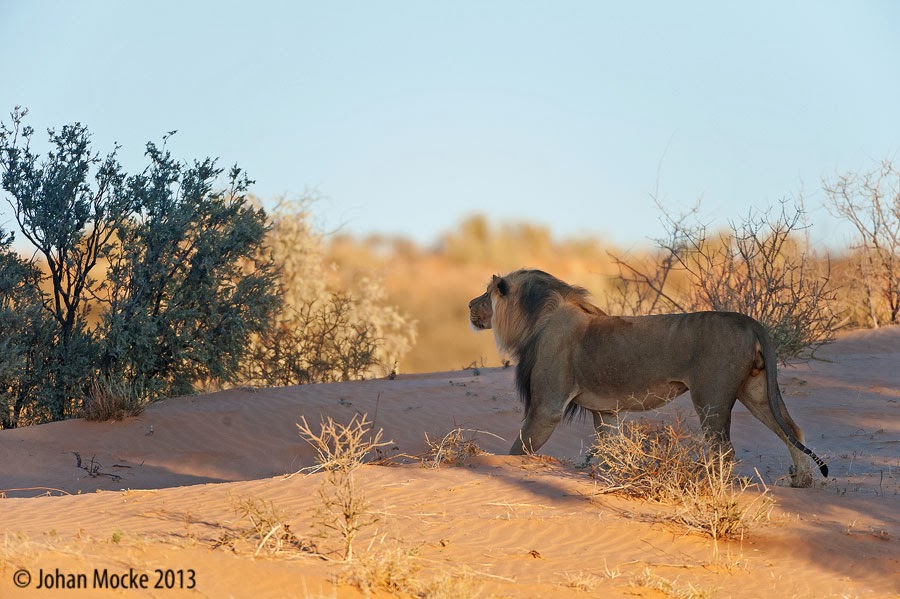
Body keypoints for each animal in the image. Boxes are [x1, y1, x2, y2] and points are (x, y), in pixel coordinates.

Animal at [468, 268, 828, 487]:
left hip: (710, 396)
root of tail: (750, 321)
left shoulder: (547, 408)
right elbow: (610, 448)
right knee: (792, 431)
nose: (470, 304)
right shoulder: (606, 411)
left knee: (724, 450)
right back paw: (801, 483)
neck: (536, 318)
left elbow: (519, 450)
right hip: (756, 391)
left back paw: (707, 485)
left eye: (487, 294)